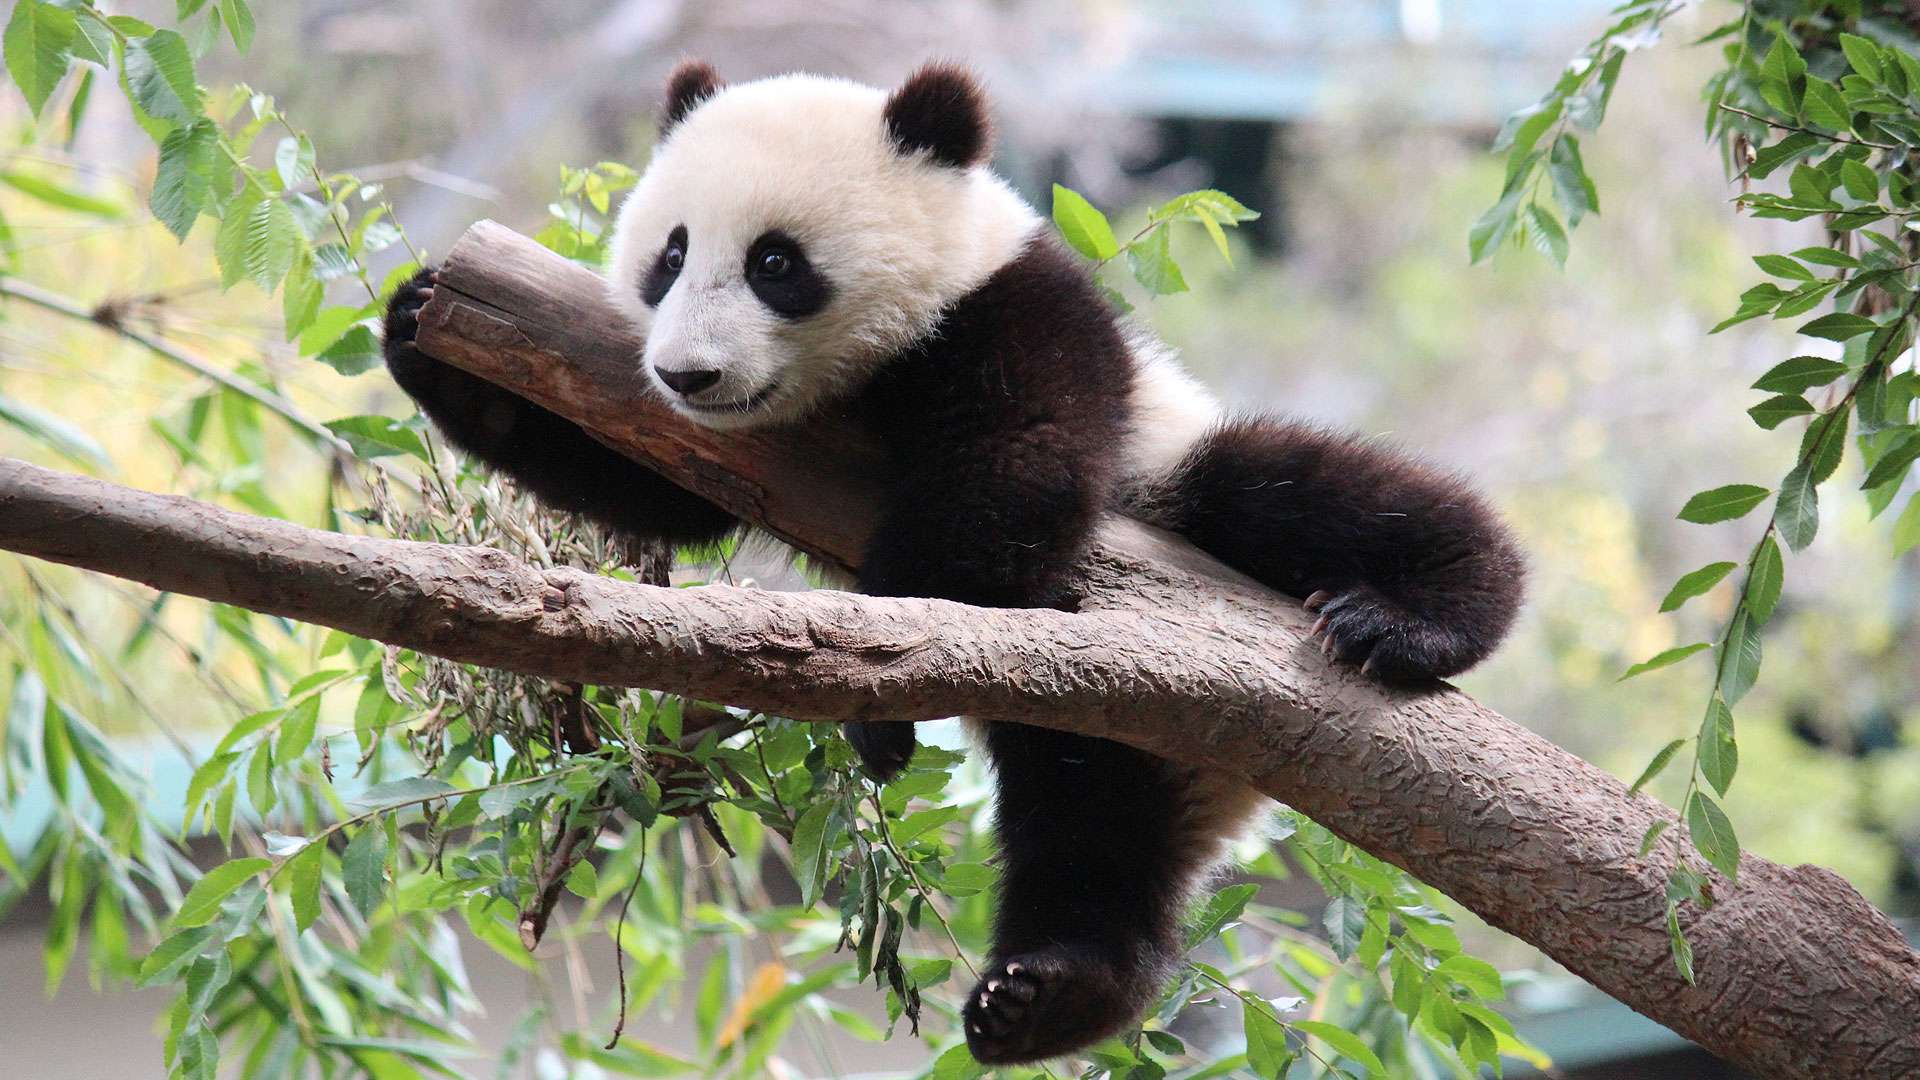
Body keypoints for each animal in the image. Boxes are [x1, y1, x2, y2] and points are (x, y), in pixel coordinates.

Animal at [382, 61, 1524, 1065]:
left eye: (775, 263)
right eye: (669, 256)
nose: (687, 373)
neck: (858, 377)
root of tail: (1228, 787)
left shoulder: (1015, 310)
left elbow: (1015, 468)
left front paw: (878, 703)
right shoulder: (732, 443)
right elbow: (641, 479)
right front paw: (422, 323)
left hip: (1176, 486)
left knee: (1294, 488)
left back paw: (1413, 617)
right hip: (1115, 727)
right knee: (1089, 829)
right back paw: (1049, 994)